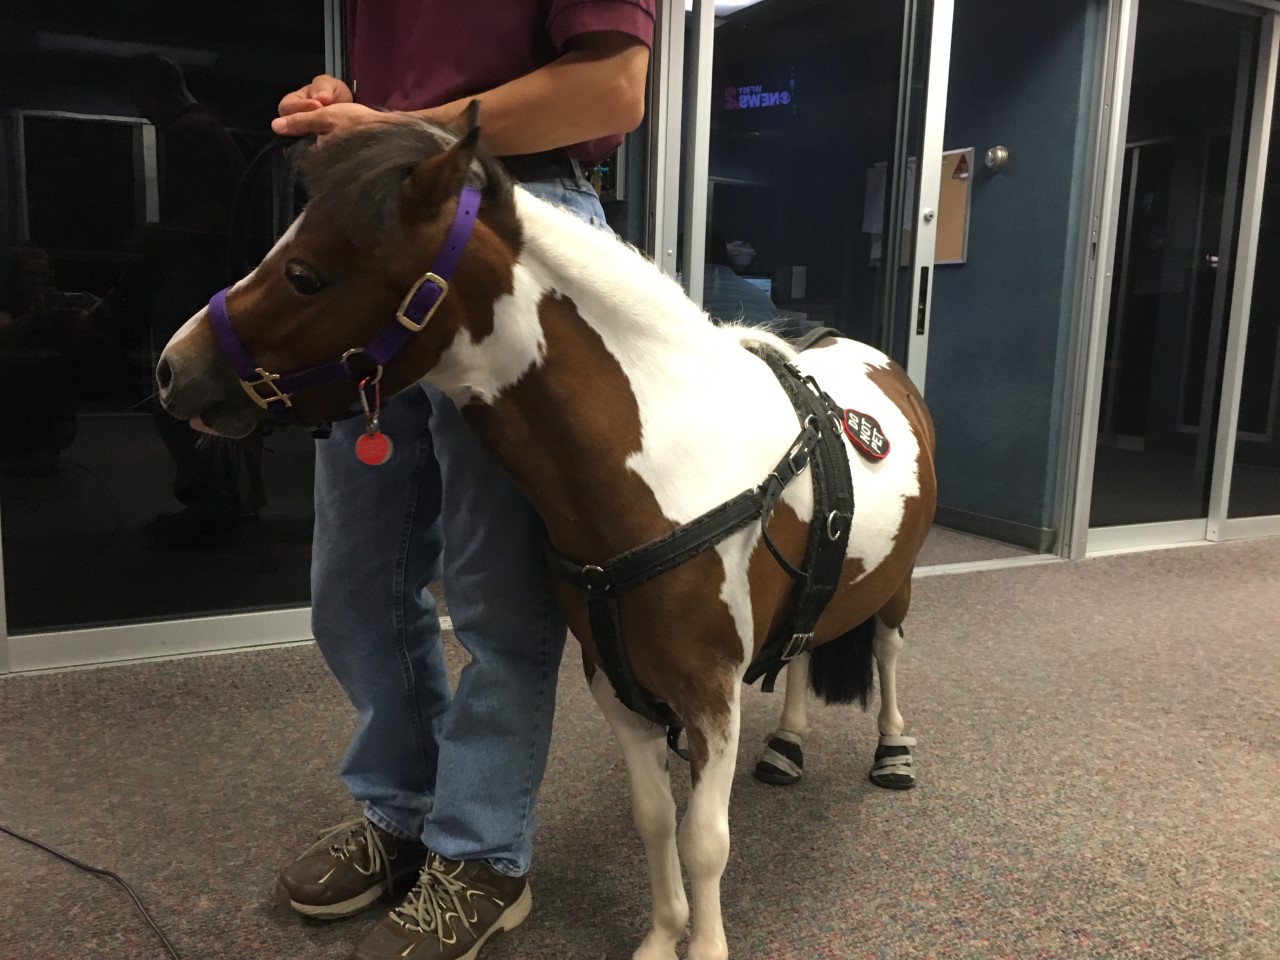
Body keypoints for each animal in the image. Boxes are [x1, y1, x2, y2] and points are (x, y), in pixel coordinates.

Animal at [156, 109, 937, 960]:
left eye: (305, 274)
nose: (172, 368)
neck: (668, 466)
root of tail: (869, 356)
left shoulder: (710, 694)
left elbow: (705, 843)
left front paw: (701, 943)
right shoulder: (615, 684)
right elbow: (657, 822)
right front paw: (661, 937)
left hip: (898, 585)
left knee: (889, 651)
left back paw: (893, 750)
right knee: (800, 652)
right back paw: (788, 744)